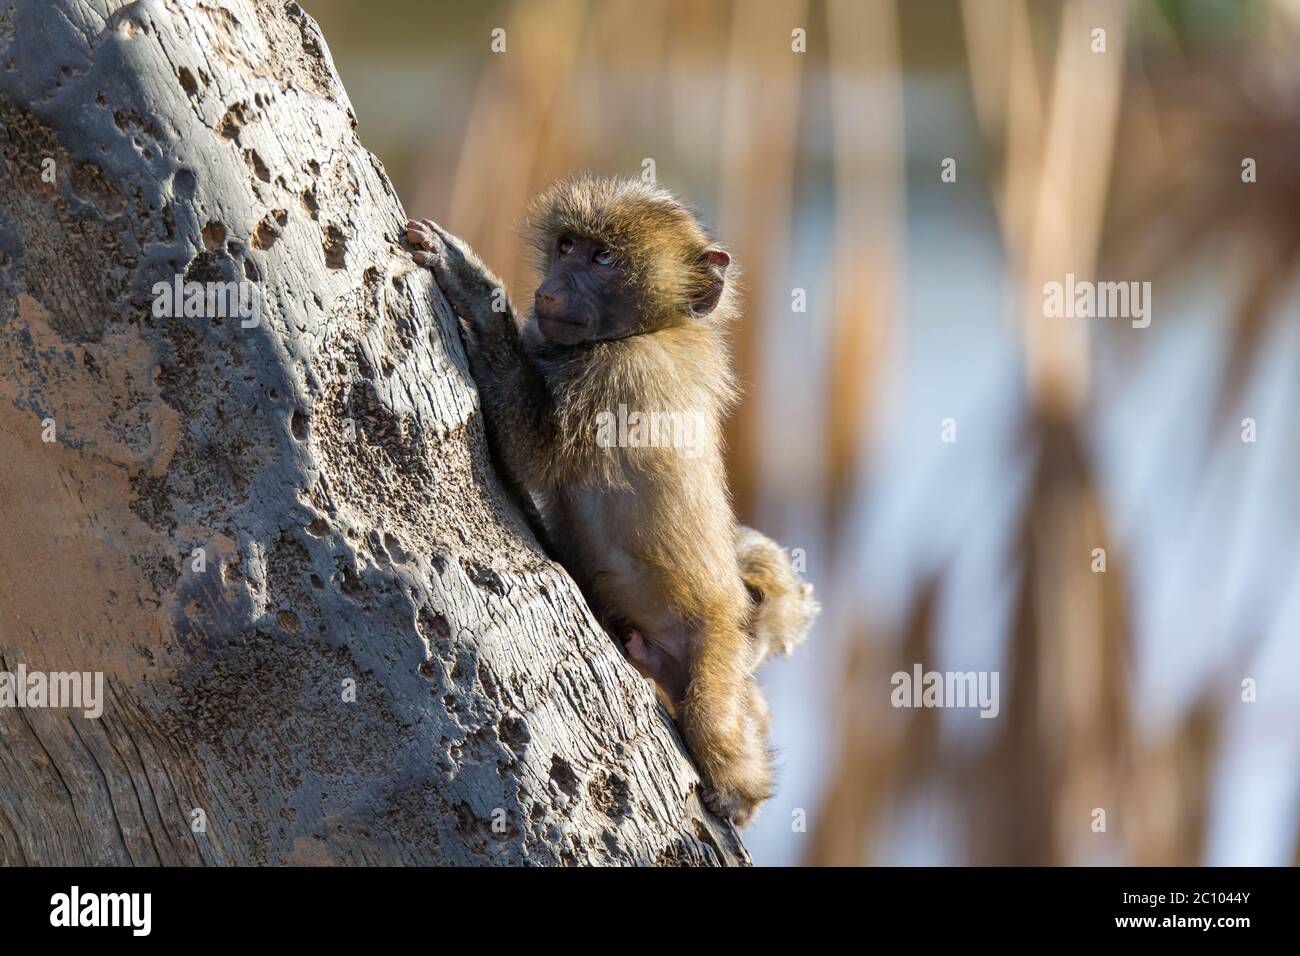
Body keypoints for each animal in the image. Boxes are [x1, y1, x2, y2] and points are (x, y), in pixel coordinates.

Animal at [405, 175, 815, 825]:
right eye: (567, 246)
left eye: (603, 260)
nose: (550, 290)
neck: (652, 331)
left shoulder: (622, 377)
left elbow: (532, 453)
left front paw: (477, 291)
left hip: (720, 647)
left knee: (714, 718)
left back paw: (740, 793)